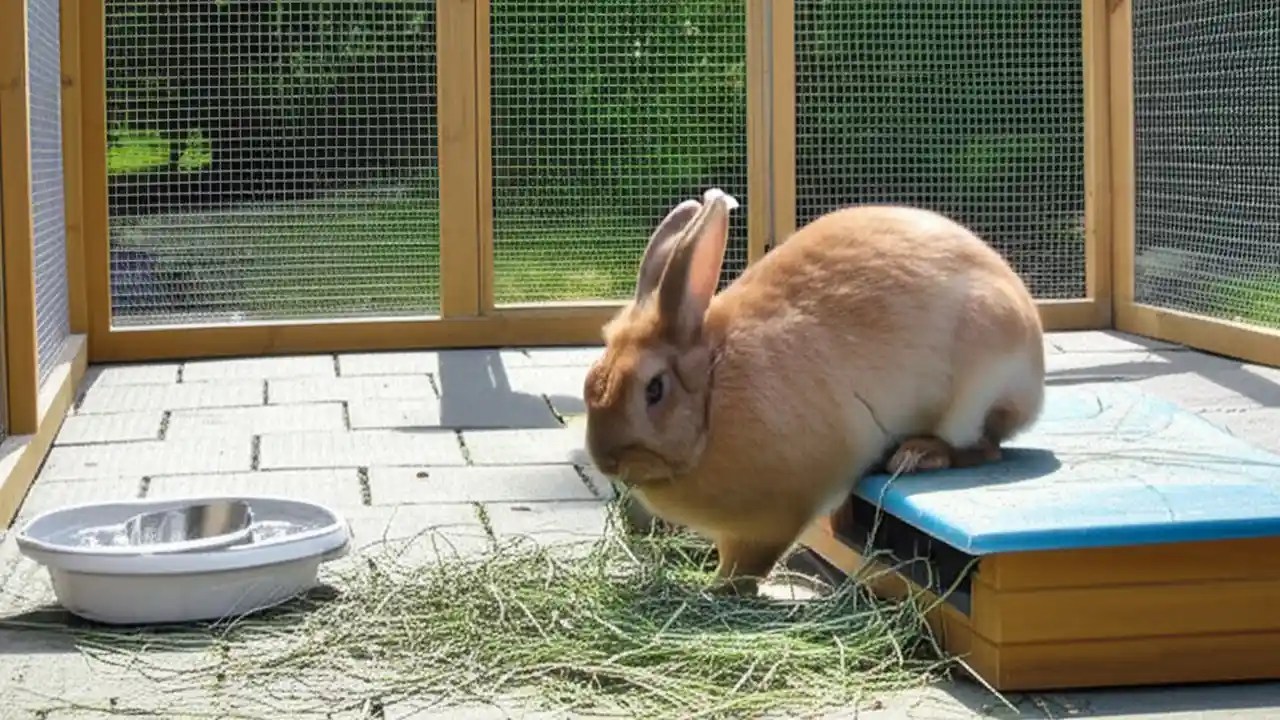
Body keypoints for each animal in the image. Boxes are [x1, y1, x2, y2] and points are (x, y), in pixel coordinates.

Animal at [582, 188, 1044, 592]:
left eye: (654, 390)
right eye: (590, 382)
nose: (606, 460)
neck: (712, 400)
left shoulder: (767, 523)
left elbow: (743, 567)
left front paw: (719, 590)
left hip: (976, 391)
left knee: (983, 448)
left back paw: (915, 455)